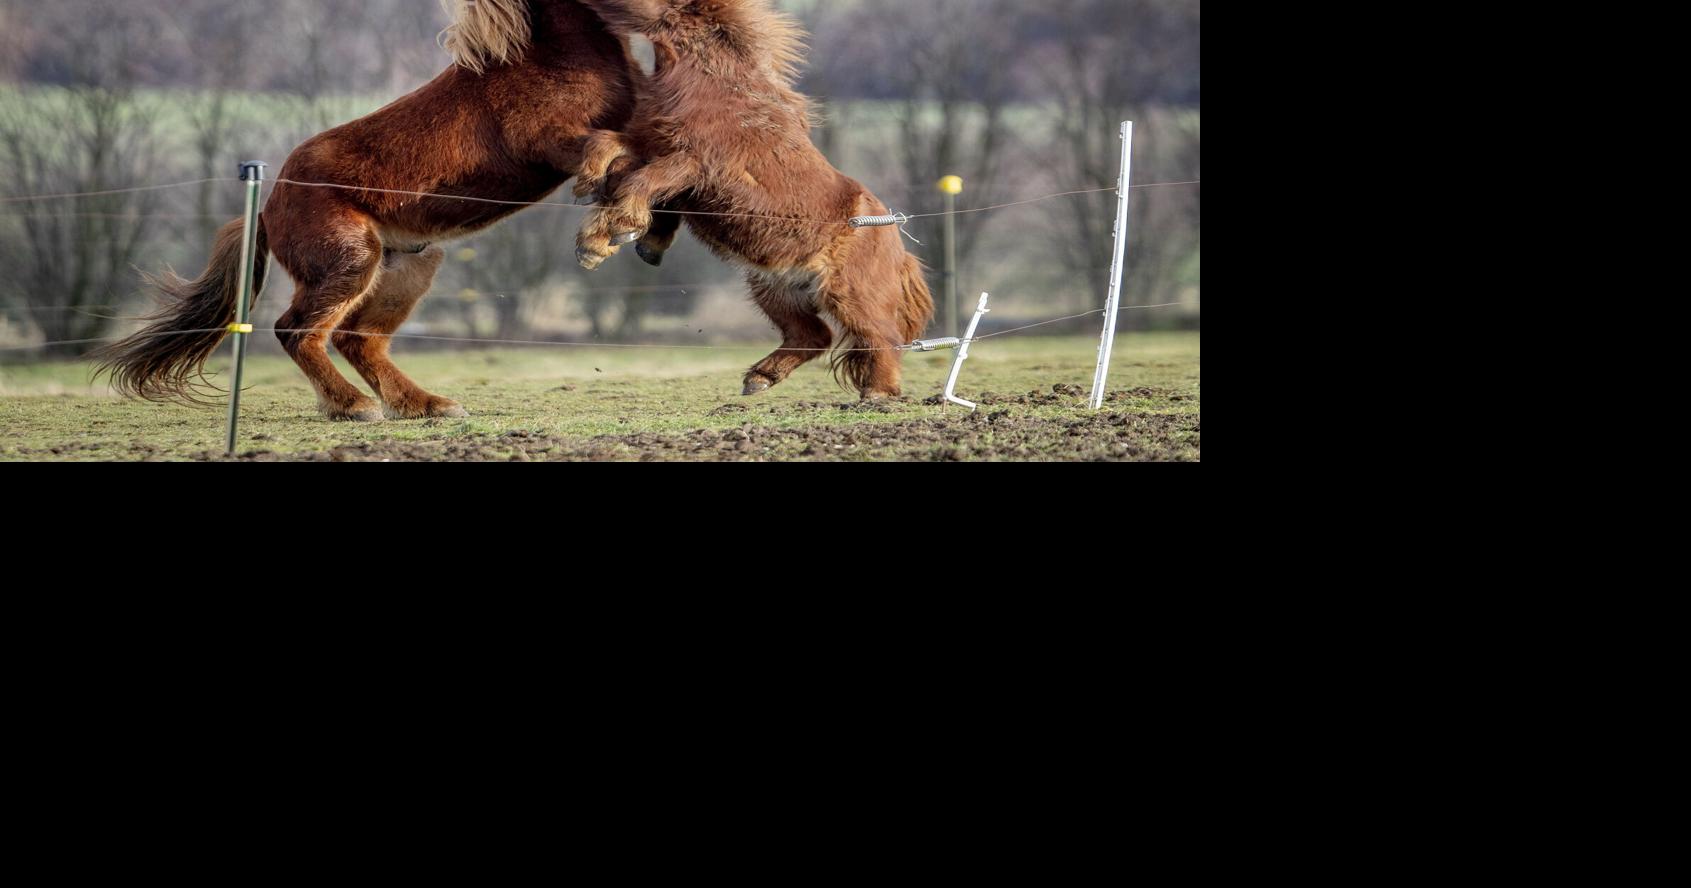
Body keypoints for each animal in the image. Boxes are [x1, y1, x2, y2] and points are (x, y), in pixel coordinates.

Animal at [95, 0, 641, 421]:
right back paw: (353, 407)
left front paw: (616, 228)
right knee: (297, 330)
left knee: (359, 340)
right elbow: (609, 146)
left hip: (410, 266)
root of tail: (267, 210)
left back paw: (426, 405)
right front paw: (599, 222)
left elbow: (632, 153)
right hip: (351, 261)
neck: (551, 52)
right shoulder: (544, 141)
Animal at [570, 0, 935, 400]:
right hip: (774, 289)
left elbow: (641, 181)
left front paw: (610, 235)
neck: (717, 81)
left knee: (882, 336)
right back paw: (760, 378)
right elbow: (607, 147)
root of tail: (897, 242)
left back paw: (878, 394)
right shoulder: (651, 146)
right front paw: (594, 198)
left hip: (848, 295)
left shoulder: (692, 163)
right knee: (813, 335)